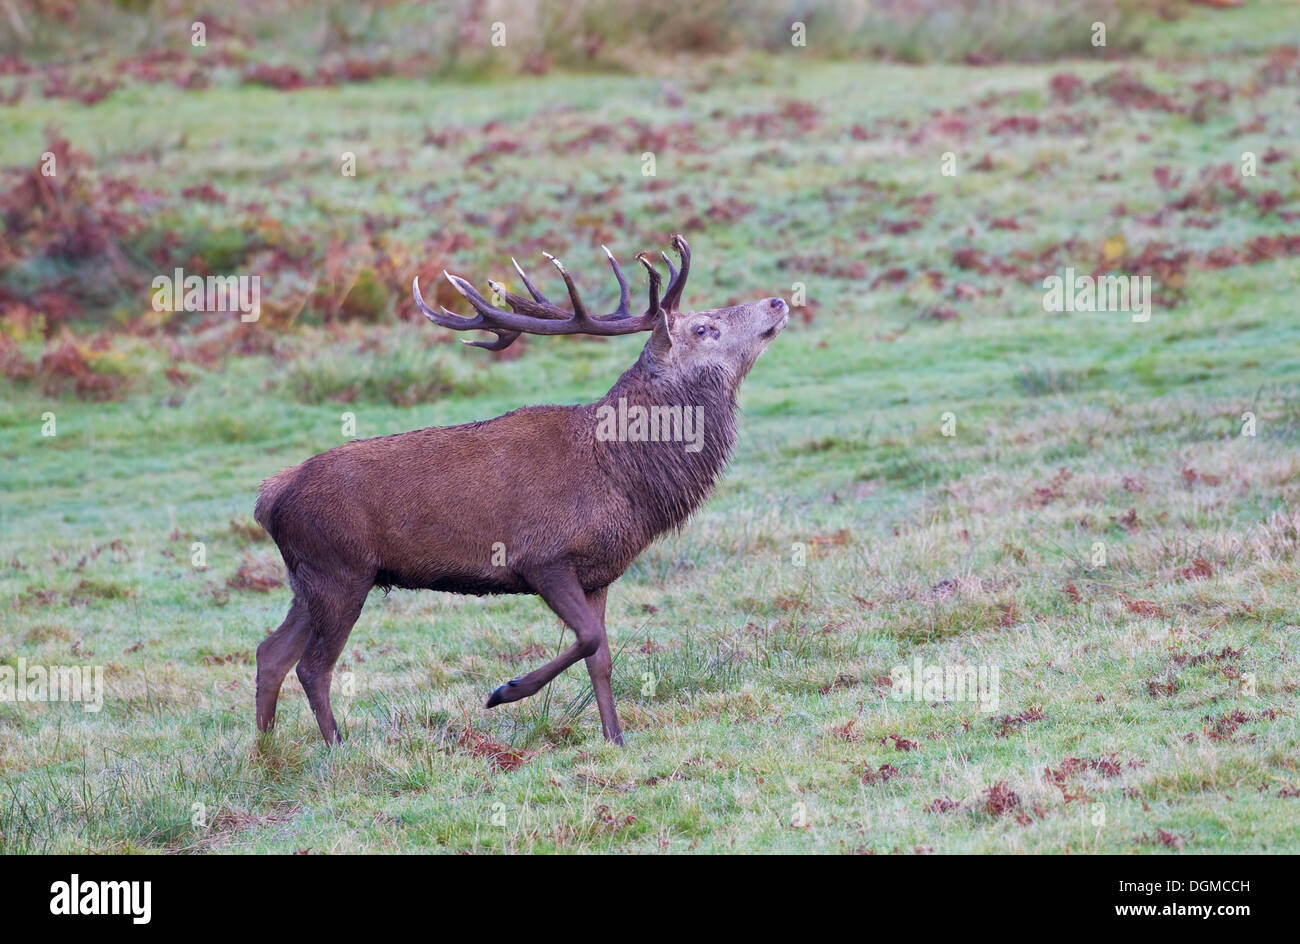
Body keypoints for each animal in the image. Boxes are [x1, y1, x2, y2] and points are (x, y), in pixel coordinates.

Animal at [253, 235, 788, 745]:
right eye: (703, 328)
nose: (779, 301)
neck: (622, 475)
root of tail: (269, 497)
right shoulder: (543, 557)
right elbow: (589, 639)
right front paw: (504, 691)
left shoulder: (599, 573)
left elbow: (603, 655)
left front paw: (615, 739)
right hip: (340, 569)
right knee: (312, 667)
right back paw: (336, 748)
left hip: (309, 577)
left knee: (270, 652)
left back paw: (265, 751)